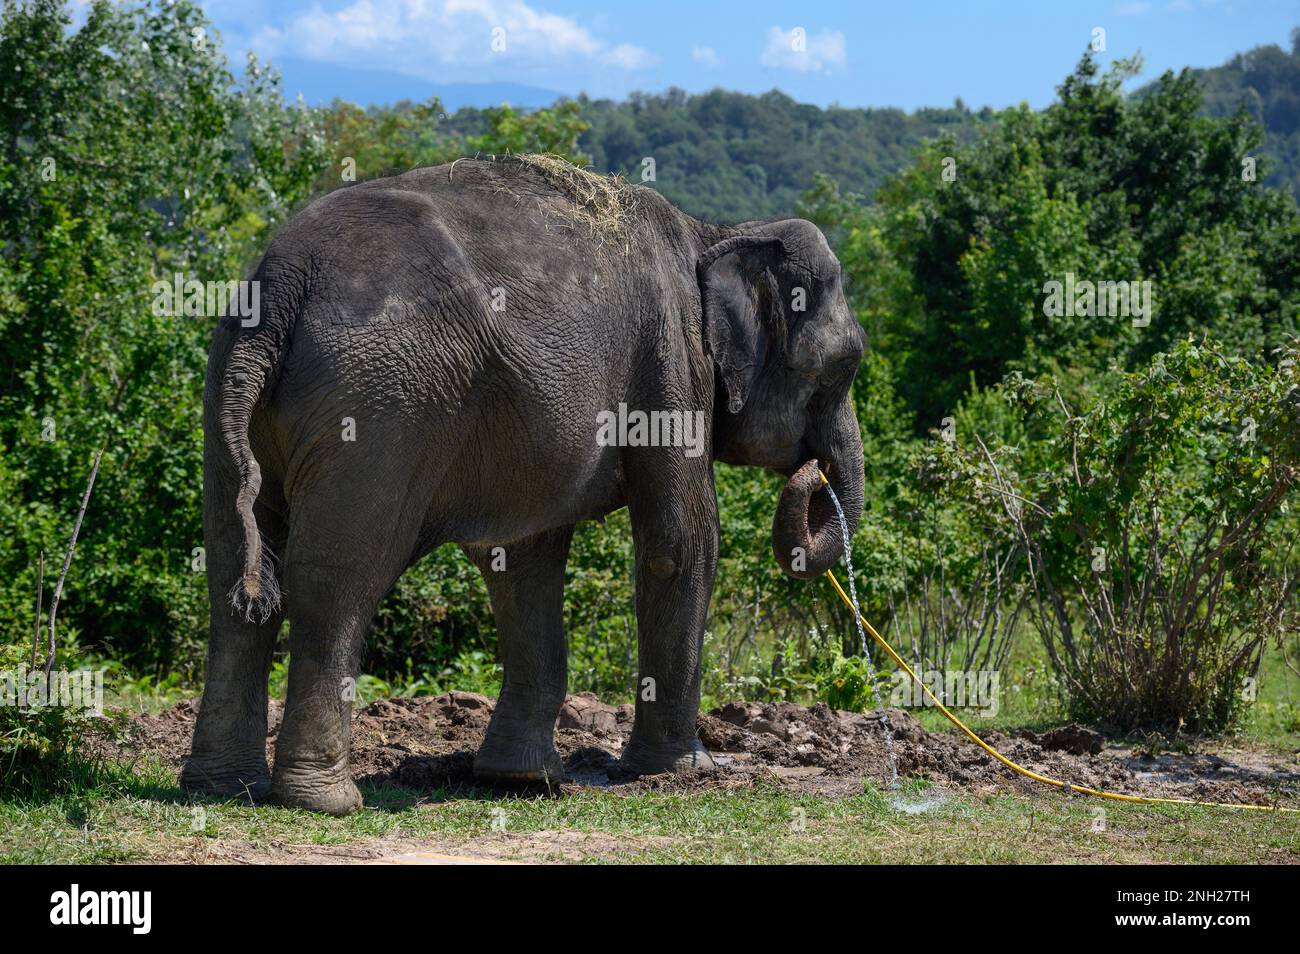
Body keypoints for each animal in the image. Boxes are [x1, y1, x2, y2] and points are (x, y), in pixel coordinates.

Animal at [180, 156, 865, 815]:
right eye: (845, 365)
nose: (812, 474)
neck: (715, 231)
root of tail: (283, 284)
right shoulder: (673, 360)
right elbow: (680, 541)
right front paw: (685, 770)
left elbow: (523, 559)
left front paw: (520, 779)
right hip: (379, 407)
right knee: (336, 580)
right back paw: (328, 801)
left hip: (228, 391)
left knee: (233, 577)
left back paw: (222, 787)